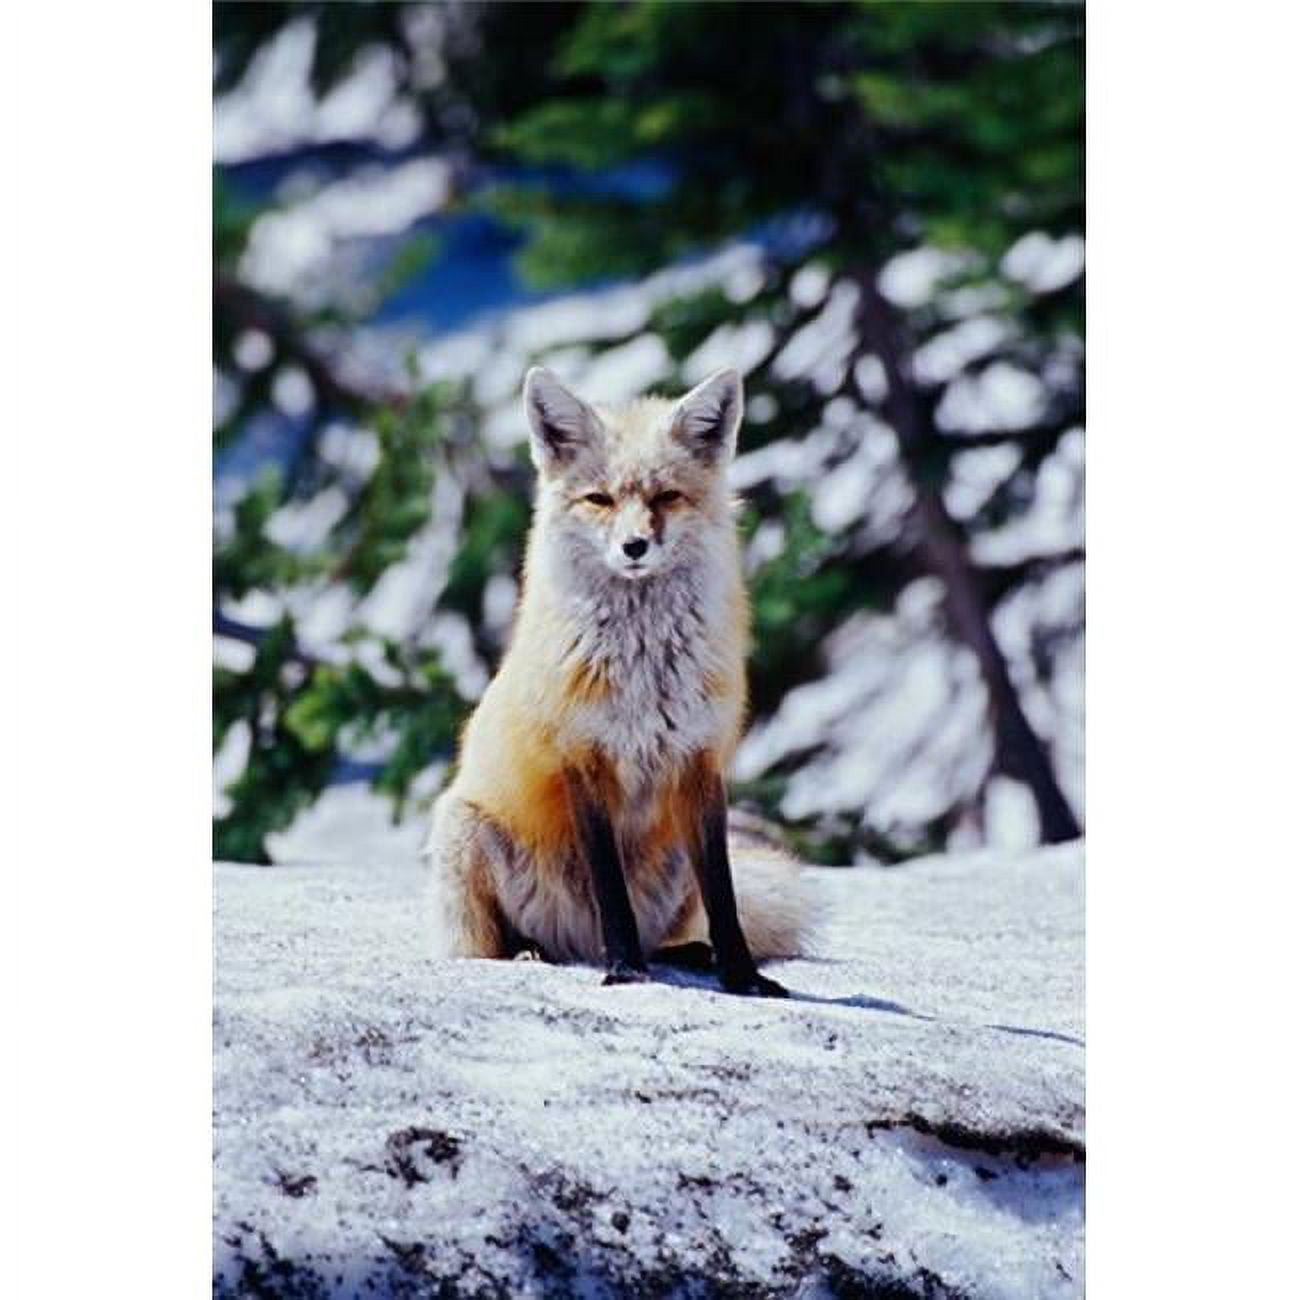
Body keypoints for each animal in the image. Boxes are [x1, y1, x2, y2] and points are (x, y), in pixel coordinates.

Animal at [426, 365, 811, 996]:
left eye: (666, 497)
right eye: (600, 499)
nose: (635, 546)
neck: (645, 671)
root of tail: (577, 945)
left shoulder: (701, 761)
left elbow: (724, 895)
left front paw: (741, 975)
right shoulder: (583, 758)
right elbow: (610, 888)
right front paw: (626, 969)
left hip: (674, 862)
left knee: (676, 930)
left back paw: (689, 953)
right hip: (464, 830)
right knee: (495, 944)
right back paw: (535, 951)